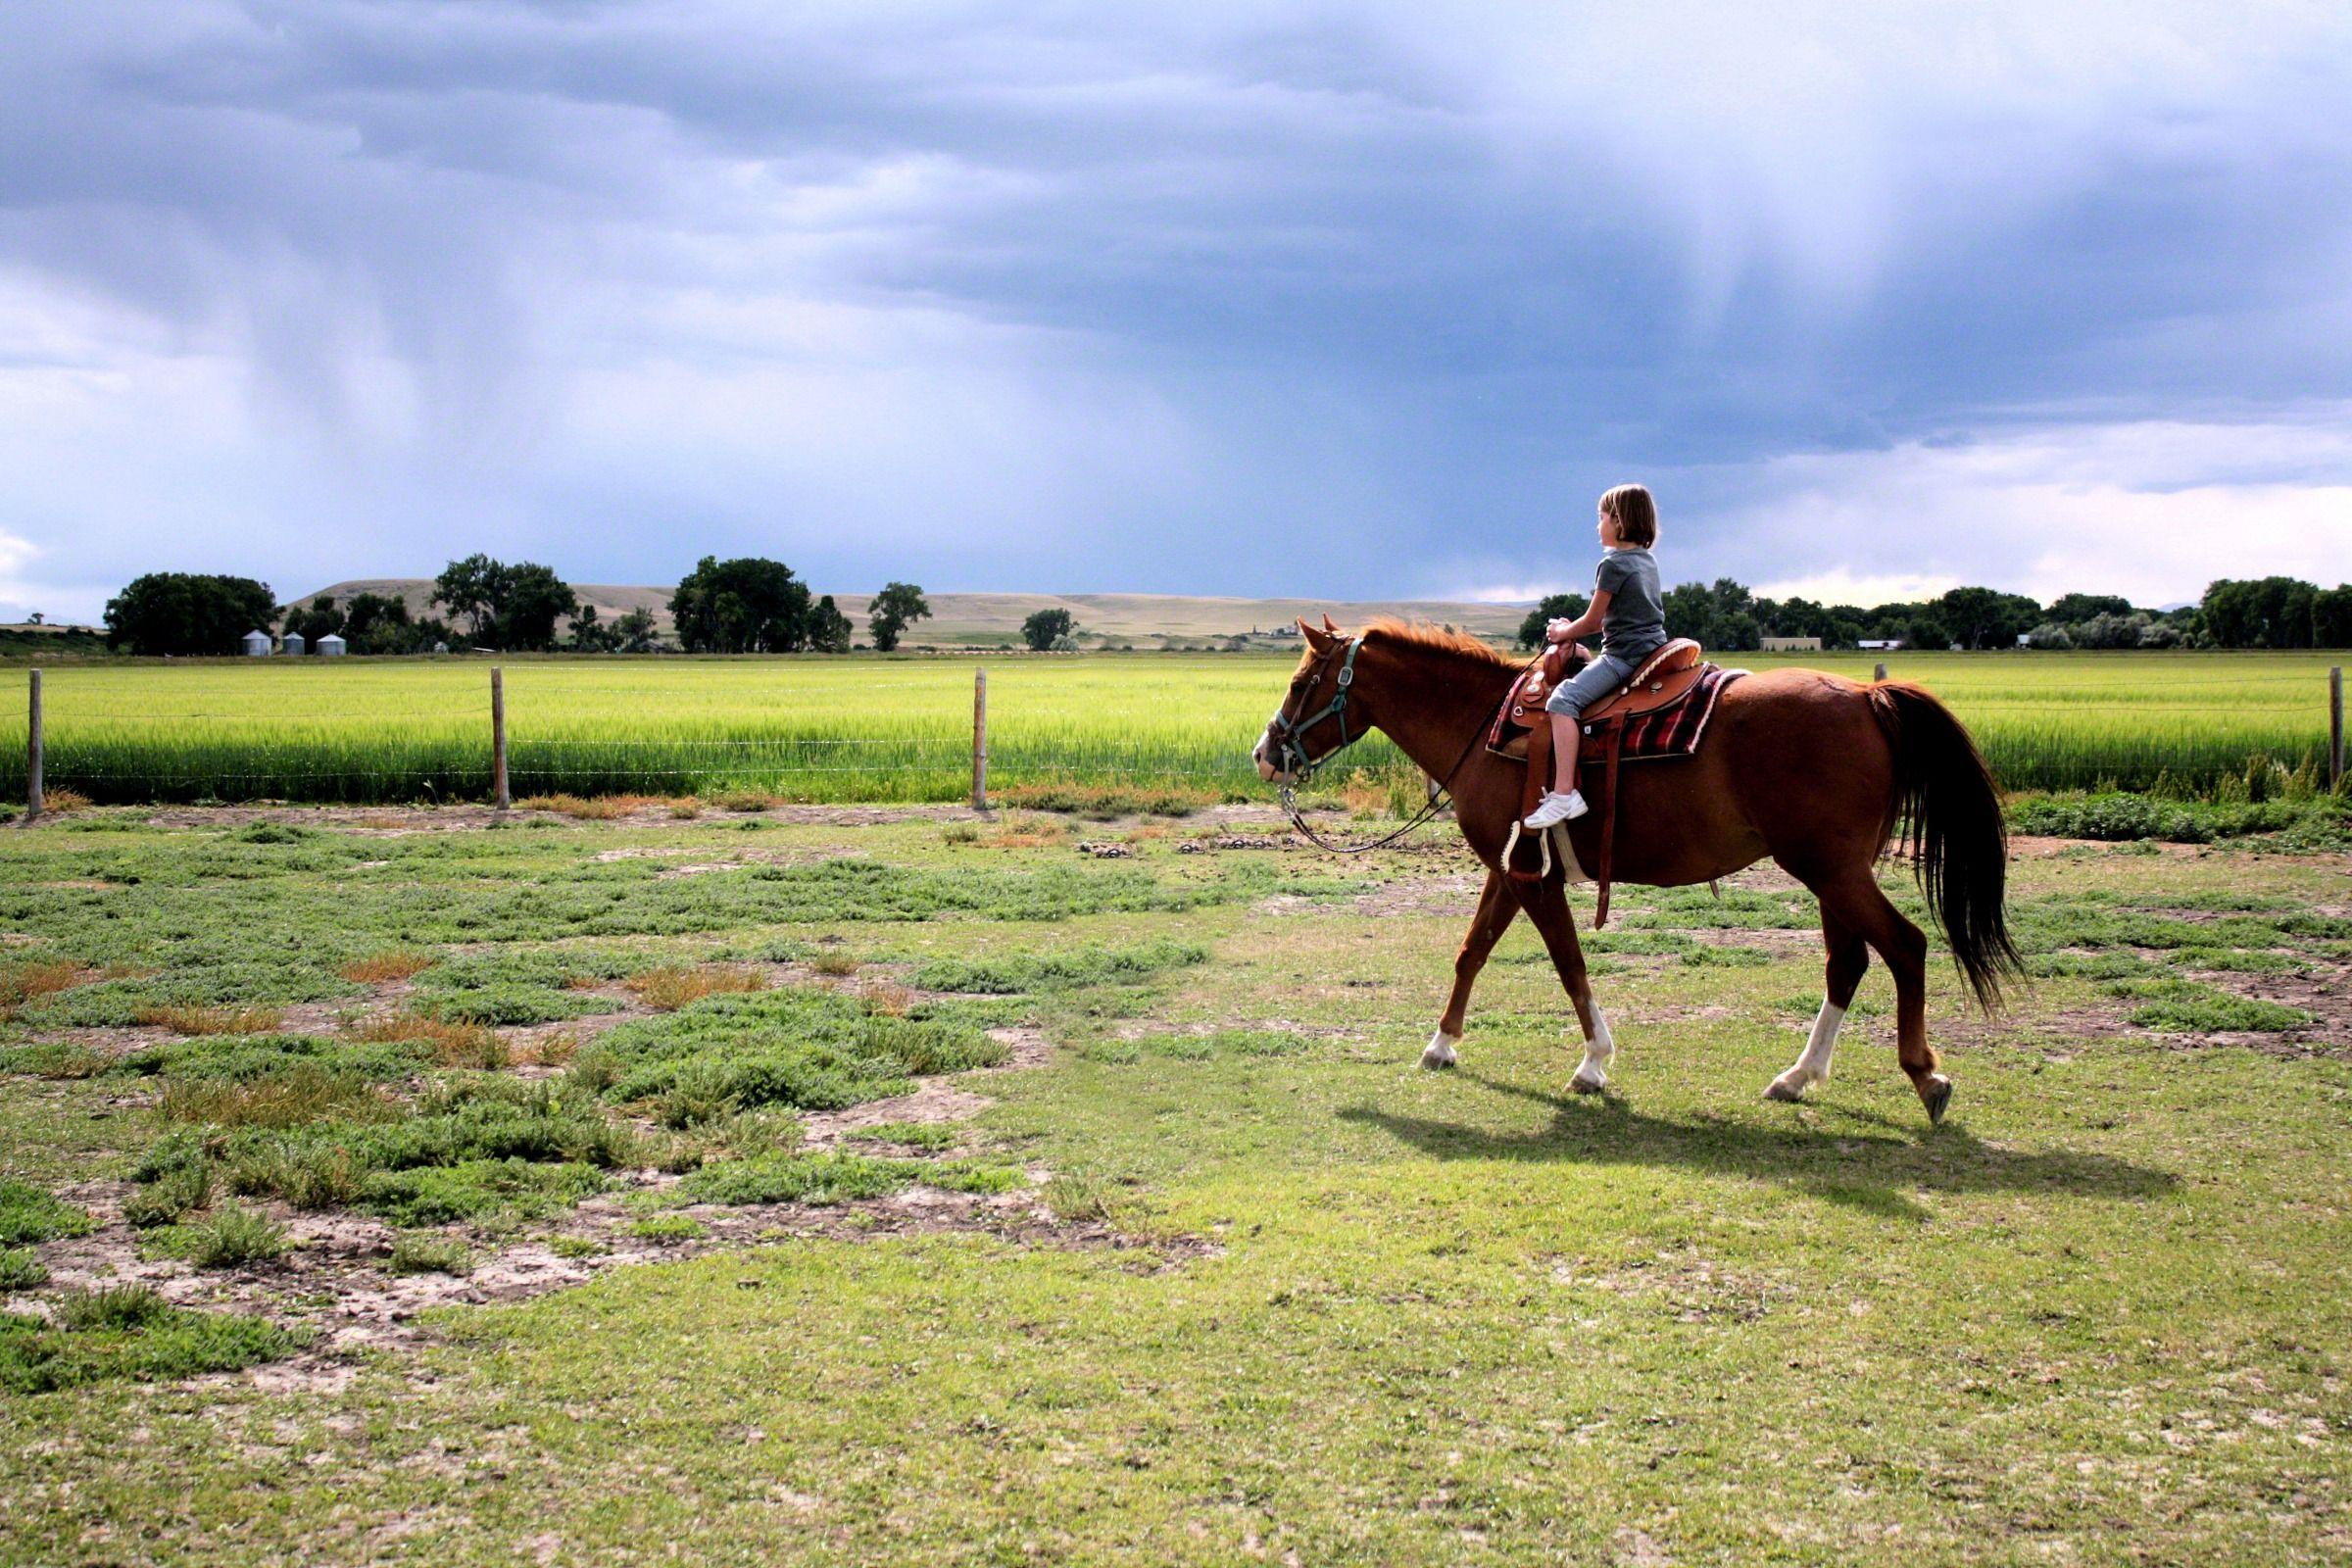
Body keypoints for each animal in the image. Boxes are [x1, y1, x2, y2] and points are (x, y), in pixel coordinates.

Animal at [1252, 617, 2020, 1124]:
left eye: (1299, 681)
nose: (1265, 753)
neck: (1484, 726)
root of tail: (1866, 695)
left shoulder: (1533, 878)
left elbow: (1567, 962)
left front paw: (1593, 1061)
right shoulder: (1508, 869)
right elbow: (1473, 950)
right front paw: (1441, 1045)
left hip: (1830, 868)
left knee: (1904, 947)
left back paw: (1925, 1077)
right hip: (1834, 871)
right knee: (1849, 962)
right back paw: (1798, 1077)